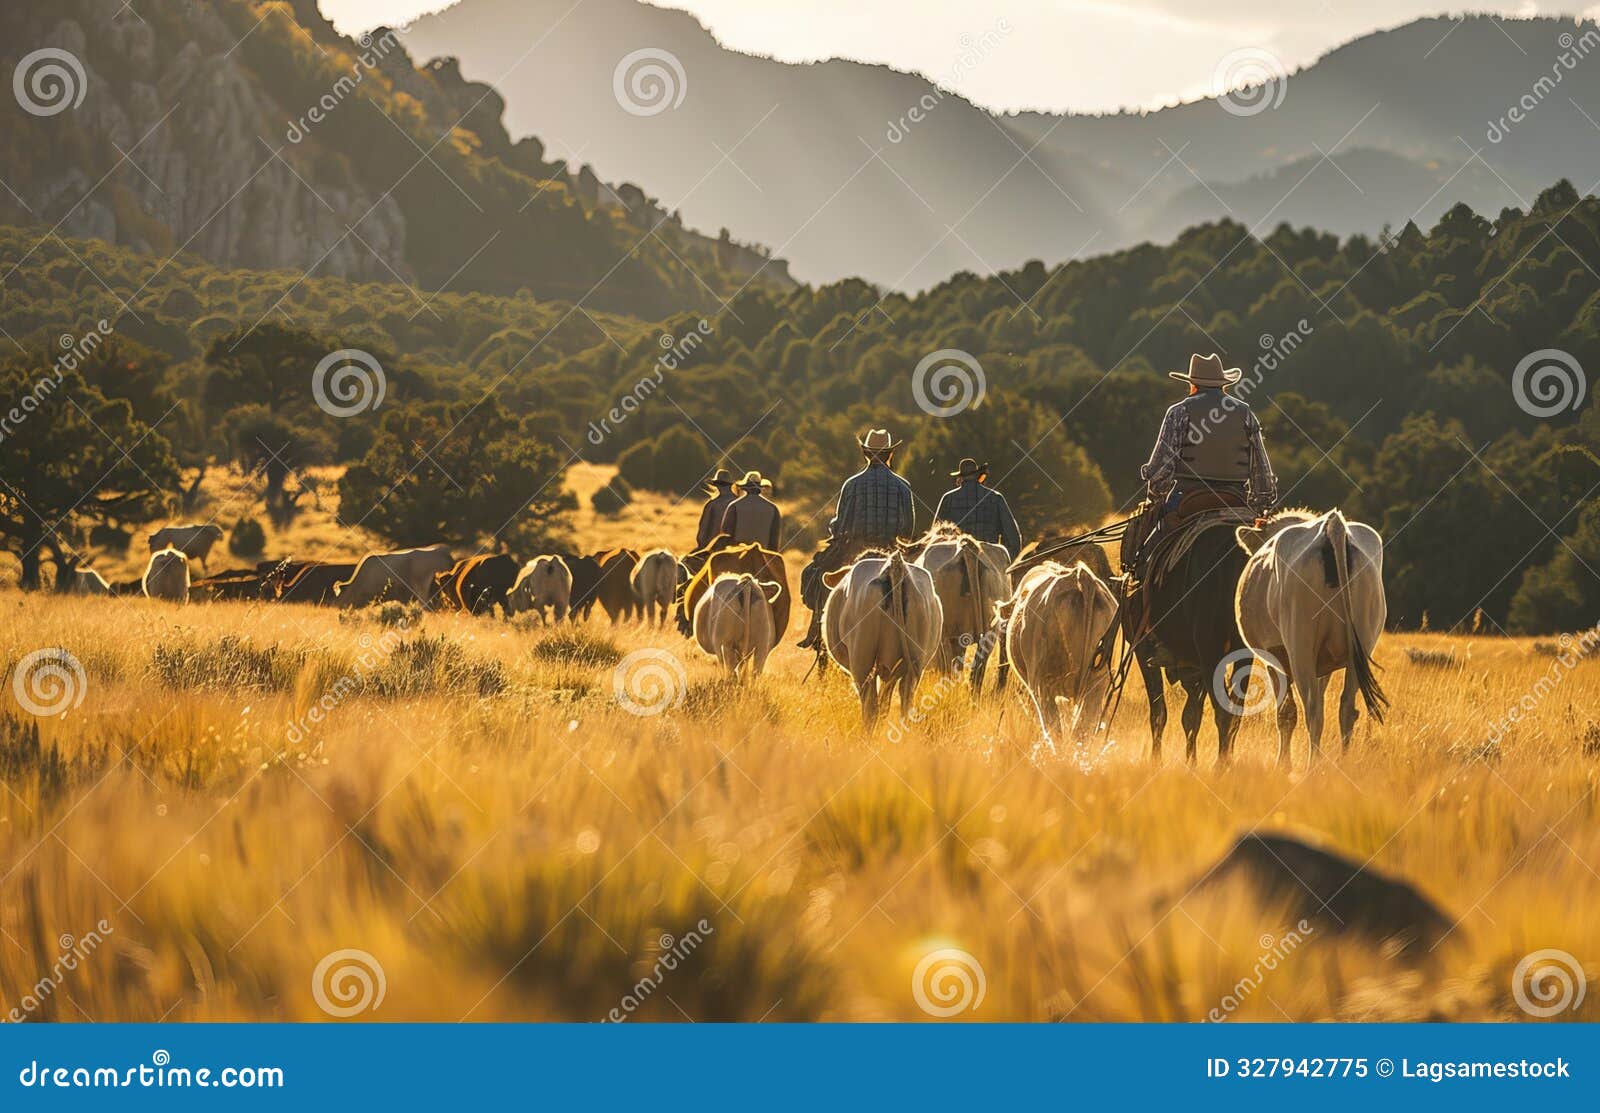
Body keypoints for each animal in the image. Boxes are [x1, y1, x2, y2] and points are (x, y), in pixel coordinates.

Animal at [1235, 508, 1389, 764]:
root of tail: (1333, 526)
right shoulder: (1323, 666)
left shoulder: (1273, 658)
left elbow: (1285, 712)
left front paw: (1283, 763)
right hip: (1362, 645)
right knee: (1346, 709)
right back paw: (1342, 763)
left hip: (1300, 646)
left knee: (1313, 710)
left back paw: (1312, 765)